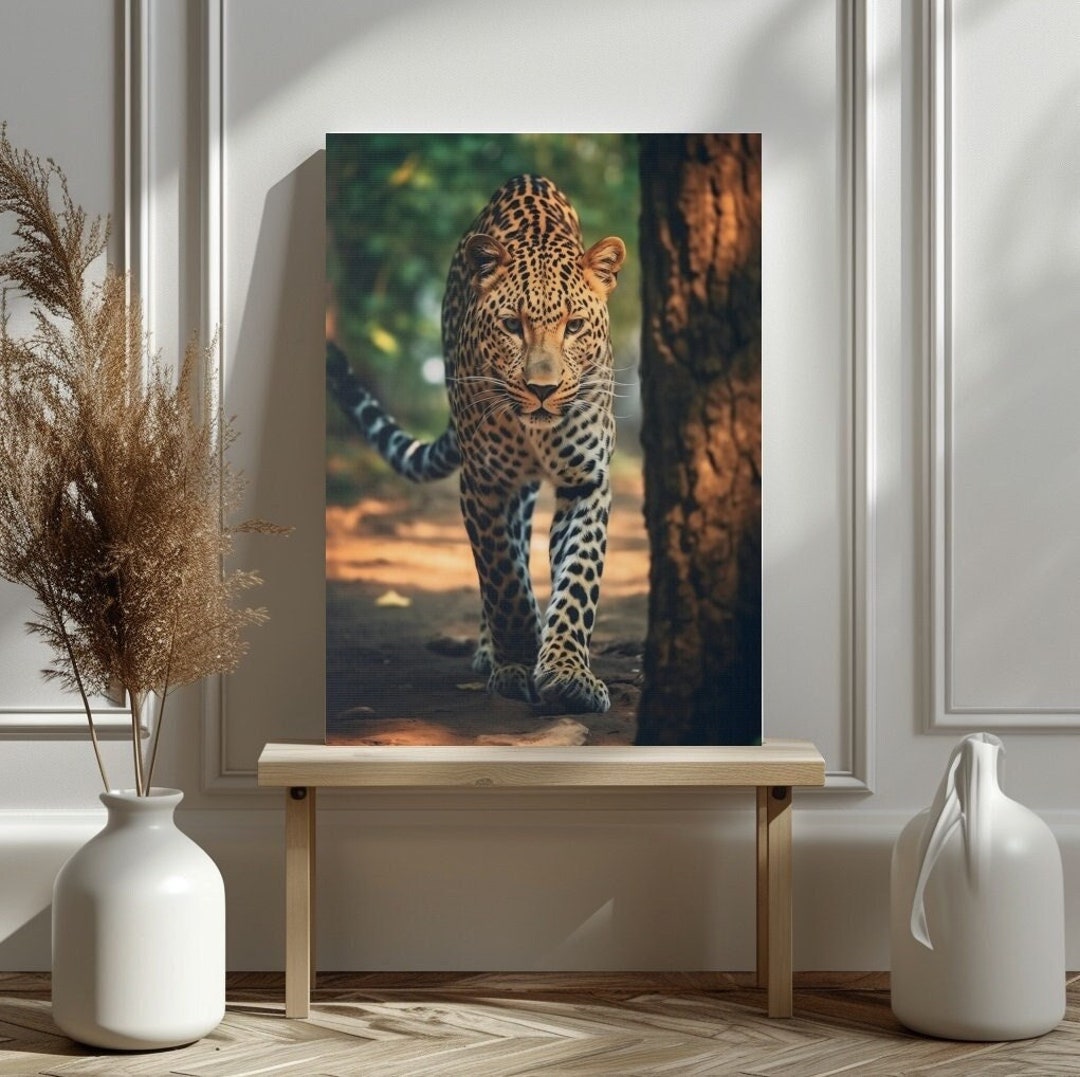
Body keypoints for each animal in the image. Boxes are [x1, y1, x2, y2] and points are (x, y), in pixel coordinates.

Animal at [327, 174, 626, 713]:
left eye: (574, 326)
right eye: (511, 325)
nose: (543, 389)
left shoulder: (586, 482)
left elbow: (577, 578)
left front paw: (567, 673)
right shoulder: (483, 483)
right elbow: (504, 579)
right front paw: (518, 660)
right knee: (509, 560)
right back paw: (495, 649)